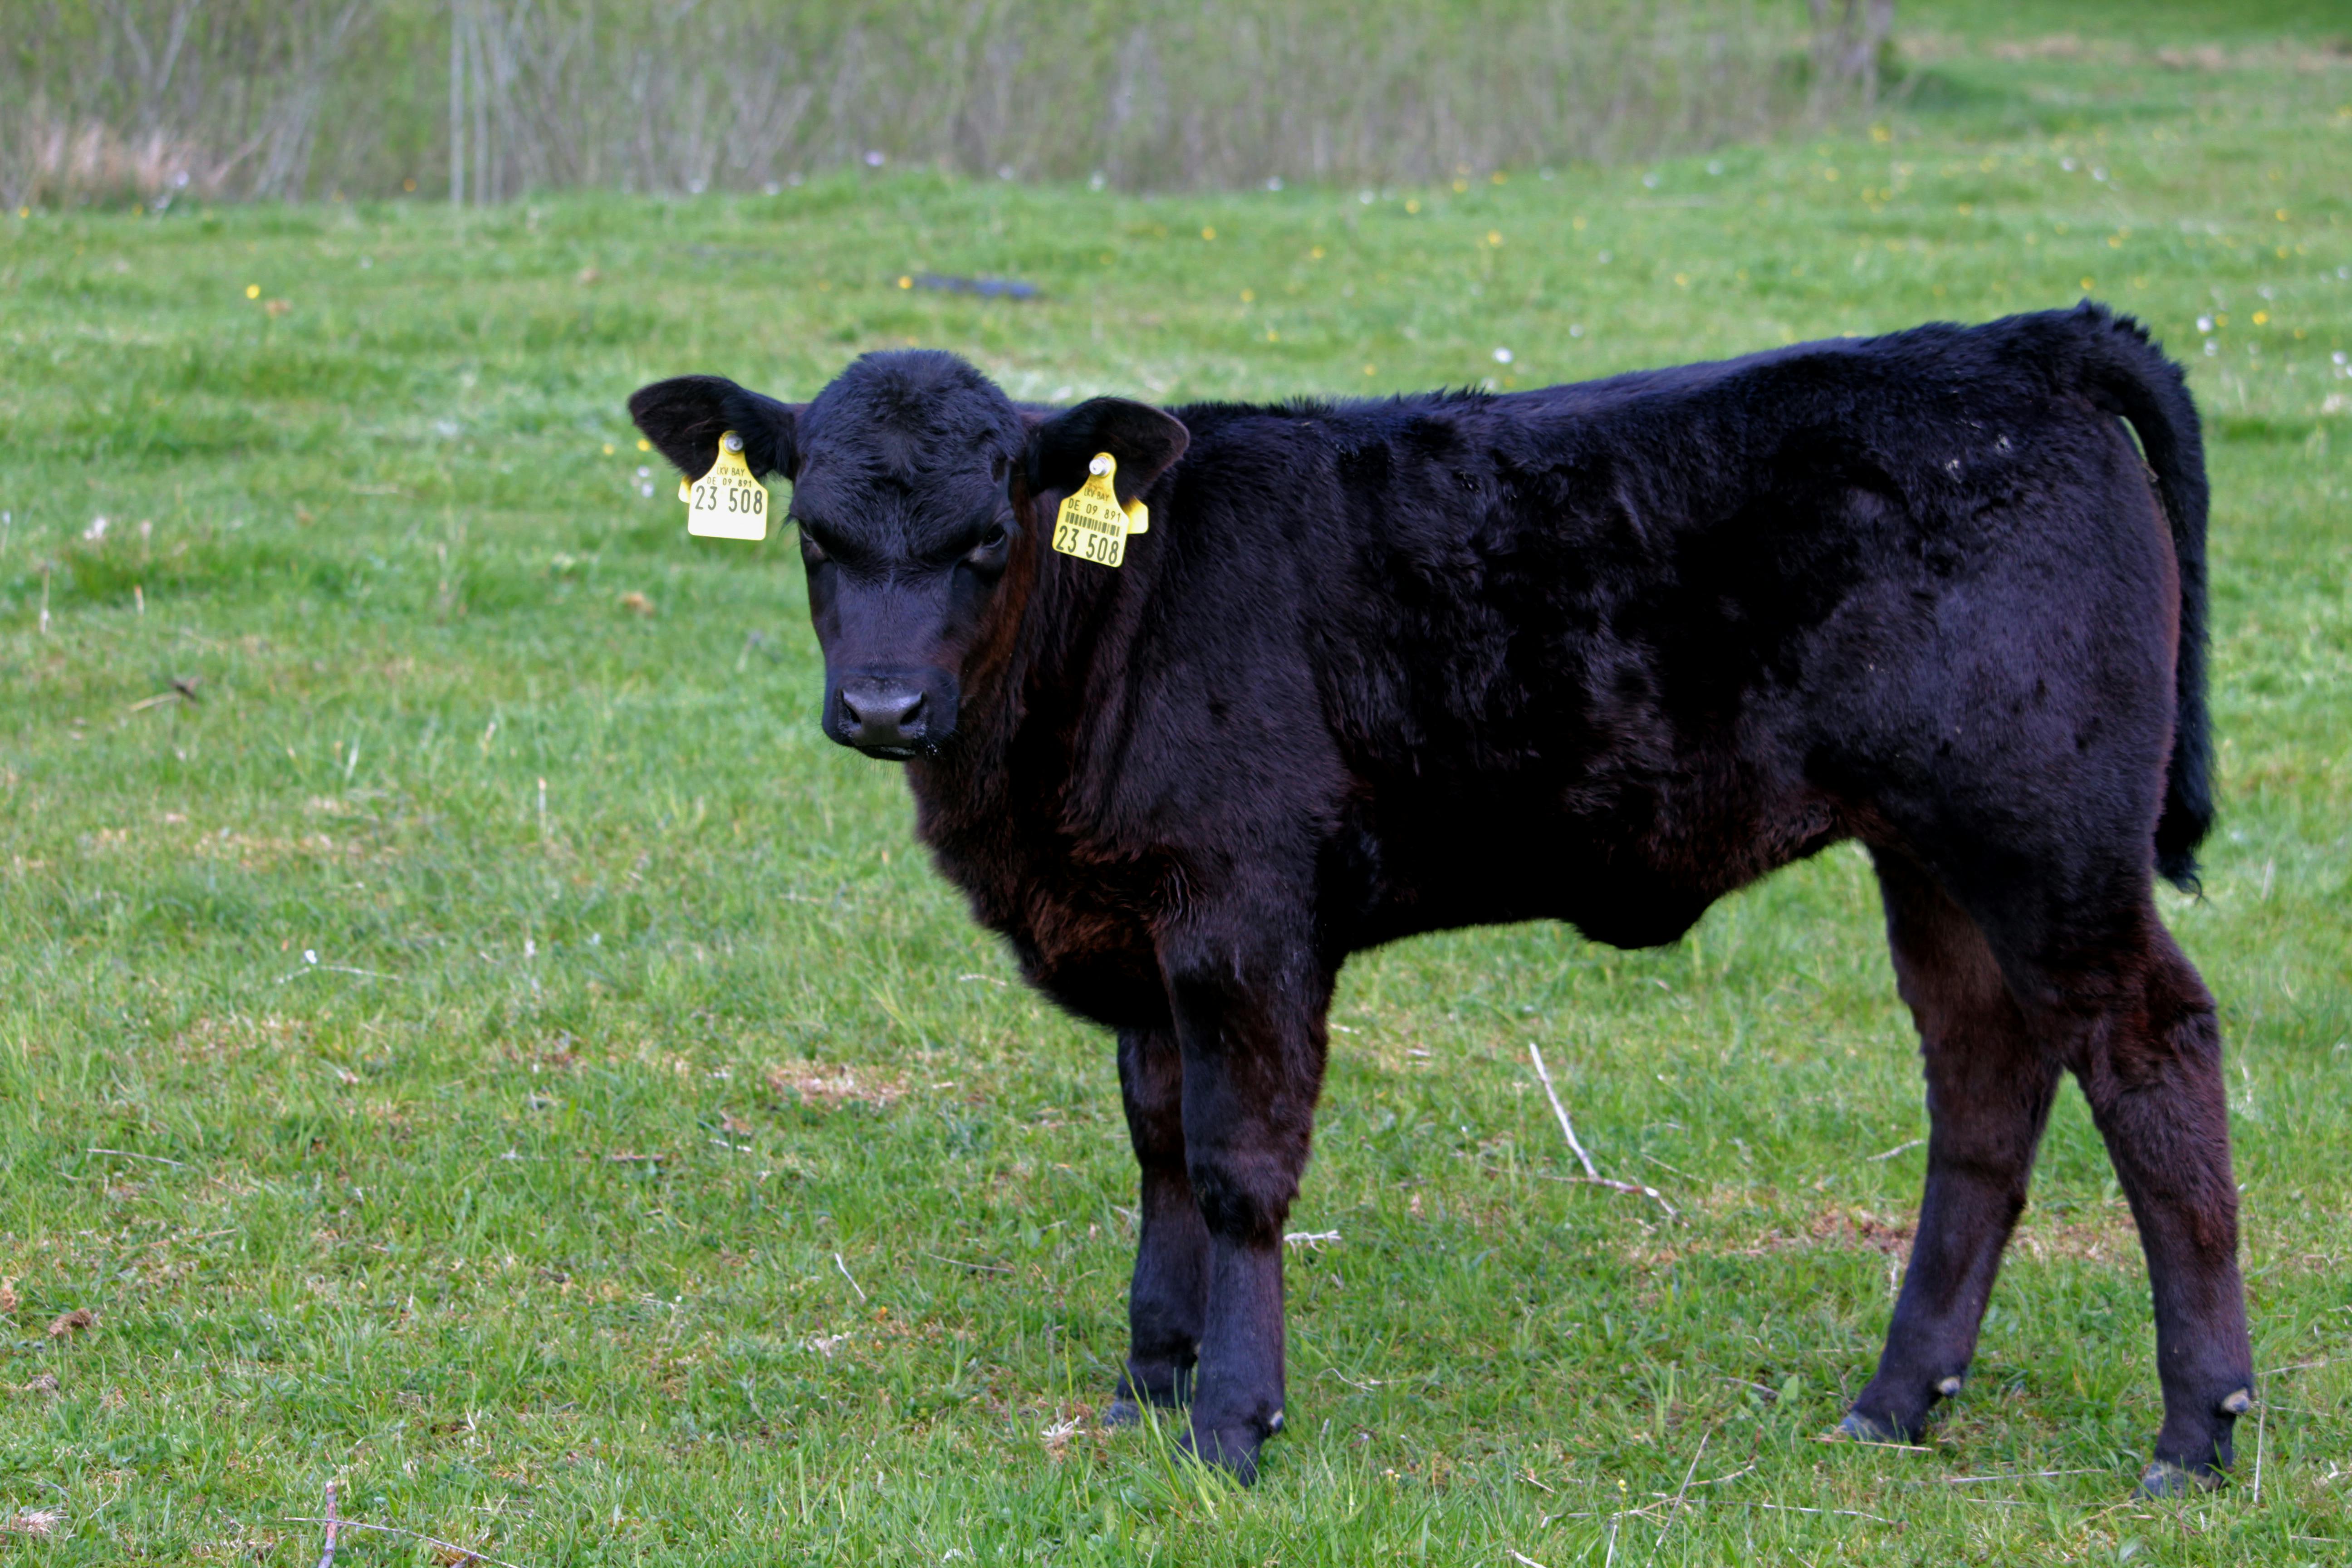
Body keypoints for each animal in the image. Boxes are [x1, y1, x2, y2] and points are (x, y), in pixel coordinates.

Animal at [629, 303, 2249, 1495]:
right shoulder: (1139, 930)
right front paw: (1149, 1384)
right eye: (816, 536)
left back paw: (2200, 1429)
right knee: (1984, 1083)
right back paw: (1900, 1401)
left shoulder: (1247, 914)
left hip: (2046, 839)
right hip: (1934, 857)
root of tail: (2017, 342)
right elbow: (1158, 1150)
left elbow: (1238, 1166)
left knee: (2152, 1051)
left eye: (986, 535)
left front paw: (1235, 1422)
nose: (884, 707)